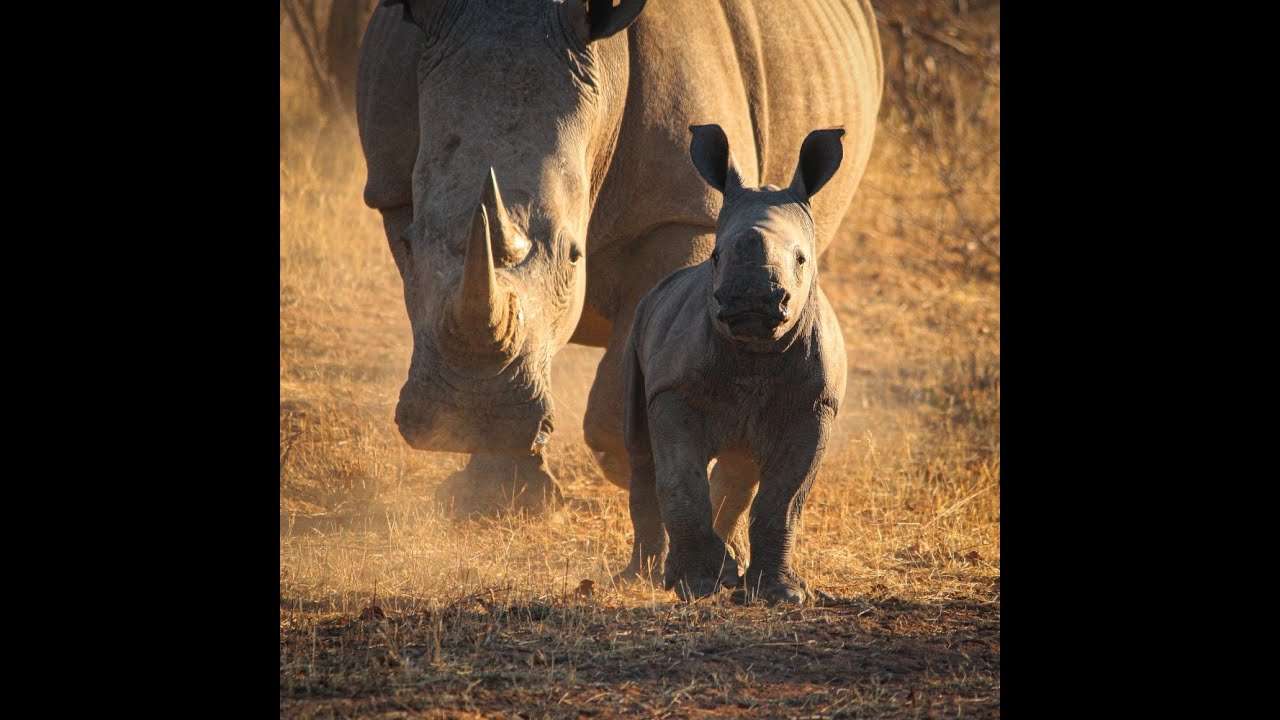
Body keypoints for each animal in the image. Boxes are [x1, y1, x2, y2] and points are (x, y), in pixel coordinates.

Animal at [356, 0, 881, 513]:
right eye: (410, 244)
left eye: (574, 257)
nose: (468, 408)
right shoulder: (390, 186)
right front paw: (499, 496)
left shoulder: (686, 212)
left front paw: (638, 466)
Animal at [619, 124, 848, 603]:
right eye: (715, 257)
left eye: (801, 259)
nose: (751, 299)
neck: (756, 352)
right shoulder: (672, 392)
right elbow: (680, 479)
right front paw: (695, 584)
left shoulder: (815, 405)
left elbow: (784, 497)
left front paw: (781, 594)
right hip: (639, 323)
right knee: (641, 453)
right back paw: (641, 577)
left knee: (740, 471)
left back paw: (730, 565)